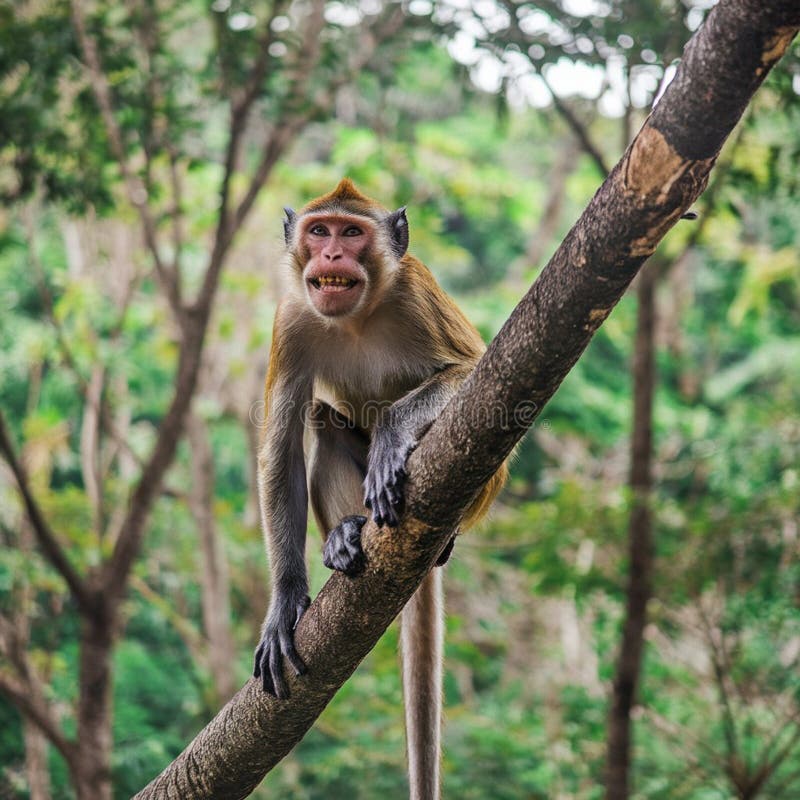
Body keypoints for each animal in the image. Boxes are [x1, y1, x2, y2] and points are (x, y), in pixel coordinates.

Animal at [253, 179, 507, 800]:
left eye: (352, 232)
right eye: (319, 230)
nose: (330, 255)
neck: (358, 316)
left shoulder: (417, 295)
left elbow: (479, 377)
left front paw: (392, 435)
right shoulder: (292, 317)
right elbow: (281, 446)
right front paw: (285, 600)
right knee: (323, 421)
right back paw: (347, 534)